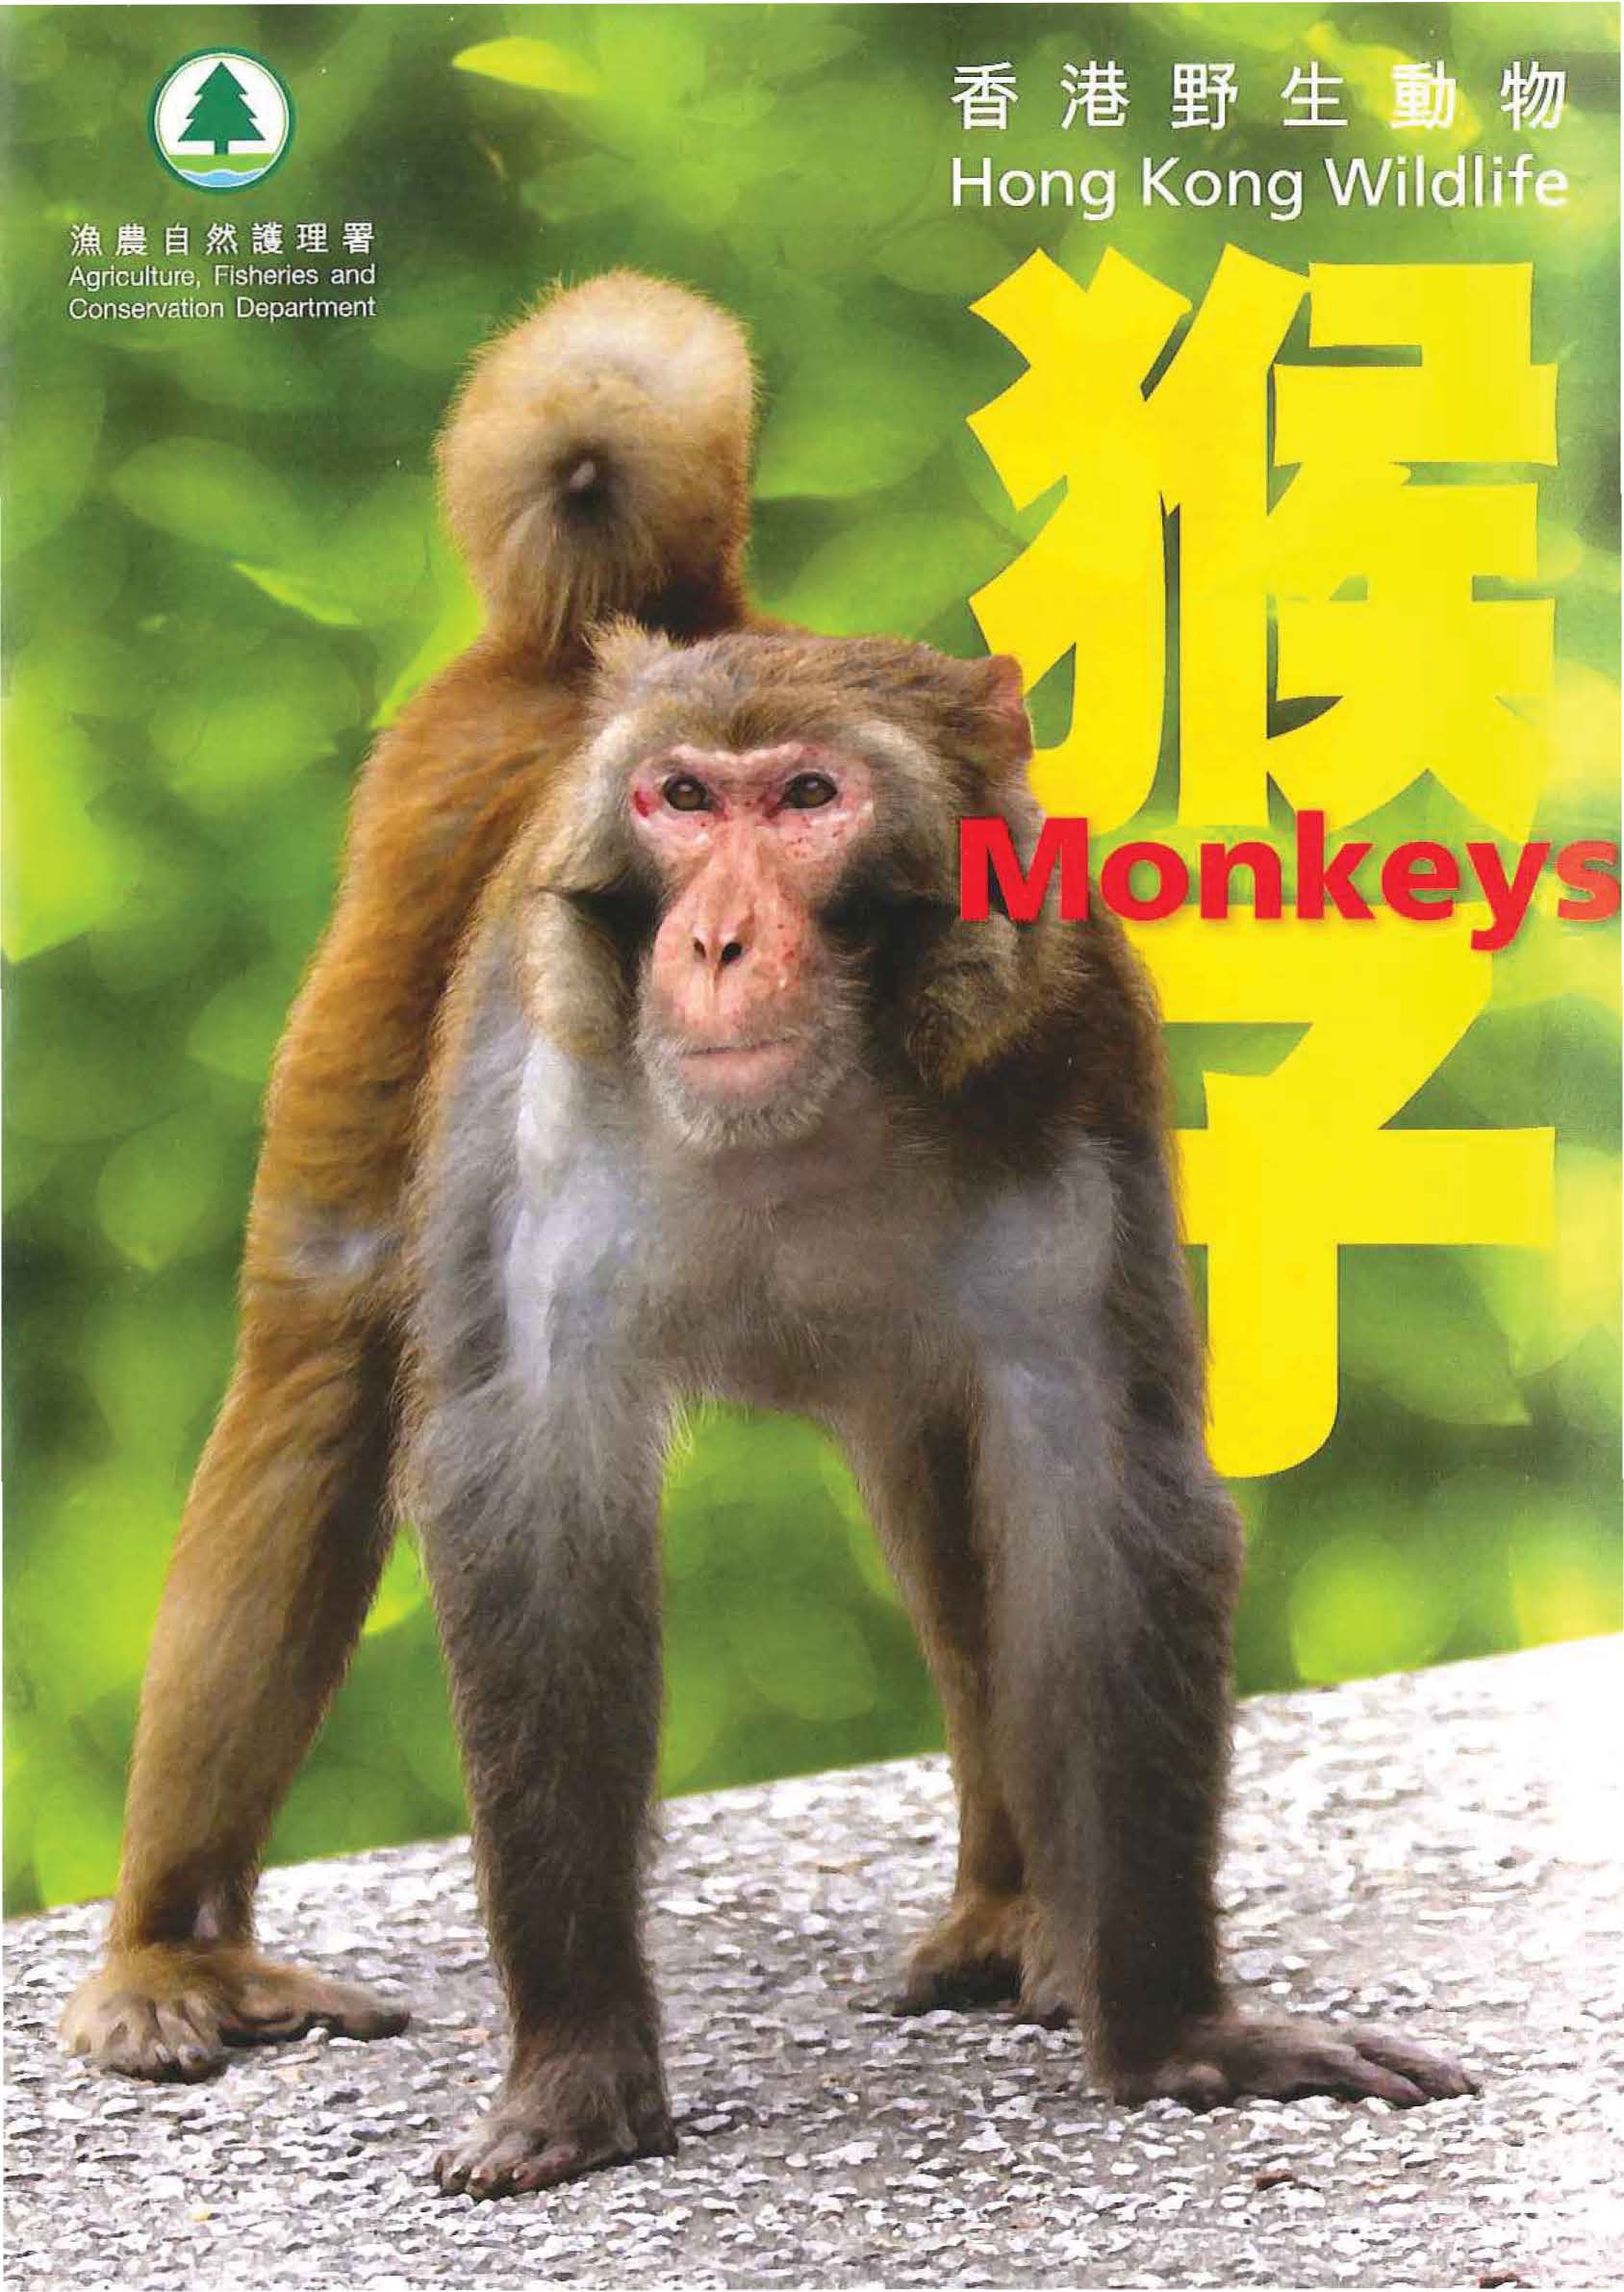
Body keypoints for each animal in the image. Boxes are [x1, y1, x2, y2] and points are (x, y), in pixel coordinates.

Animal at [62, 270, 1475, 2194]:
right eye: (681, 801)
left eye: (807, 800)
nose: (718, 942)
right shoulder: (539, 1073)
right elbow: (528, 1487)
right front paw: (580, 2067)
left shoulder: (1074, 1047)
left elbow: (1095, 1485)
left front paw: (1178, 2025)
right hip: (404, 890)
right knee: (325, 1358)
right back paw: (172, 1953)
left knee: (950, 1473)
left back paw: (1020, 1914)